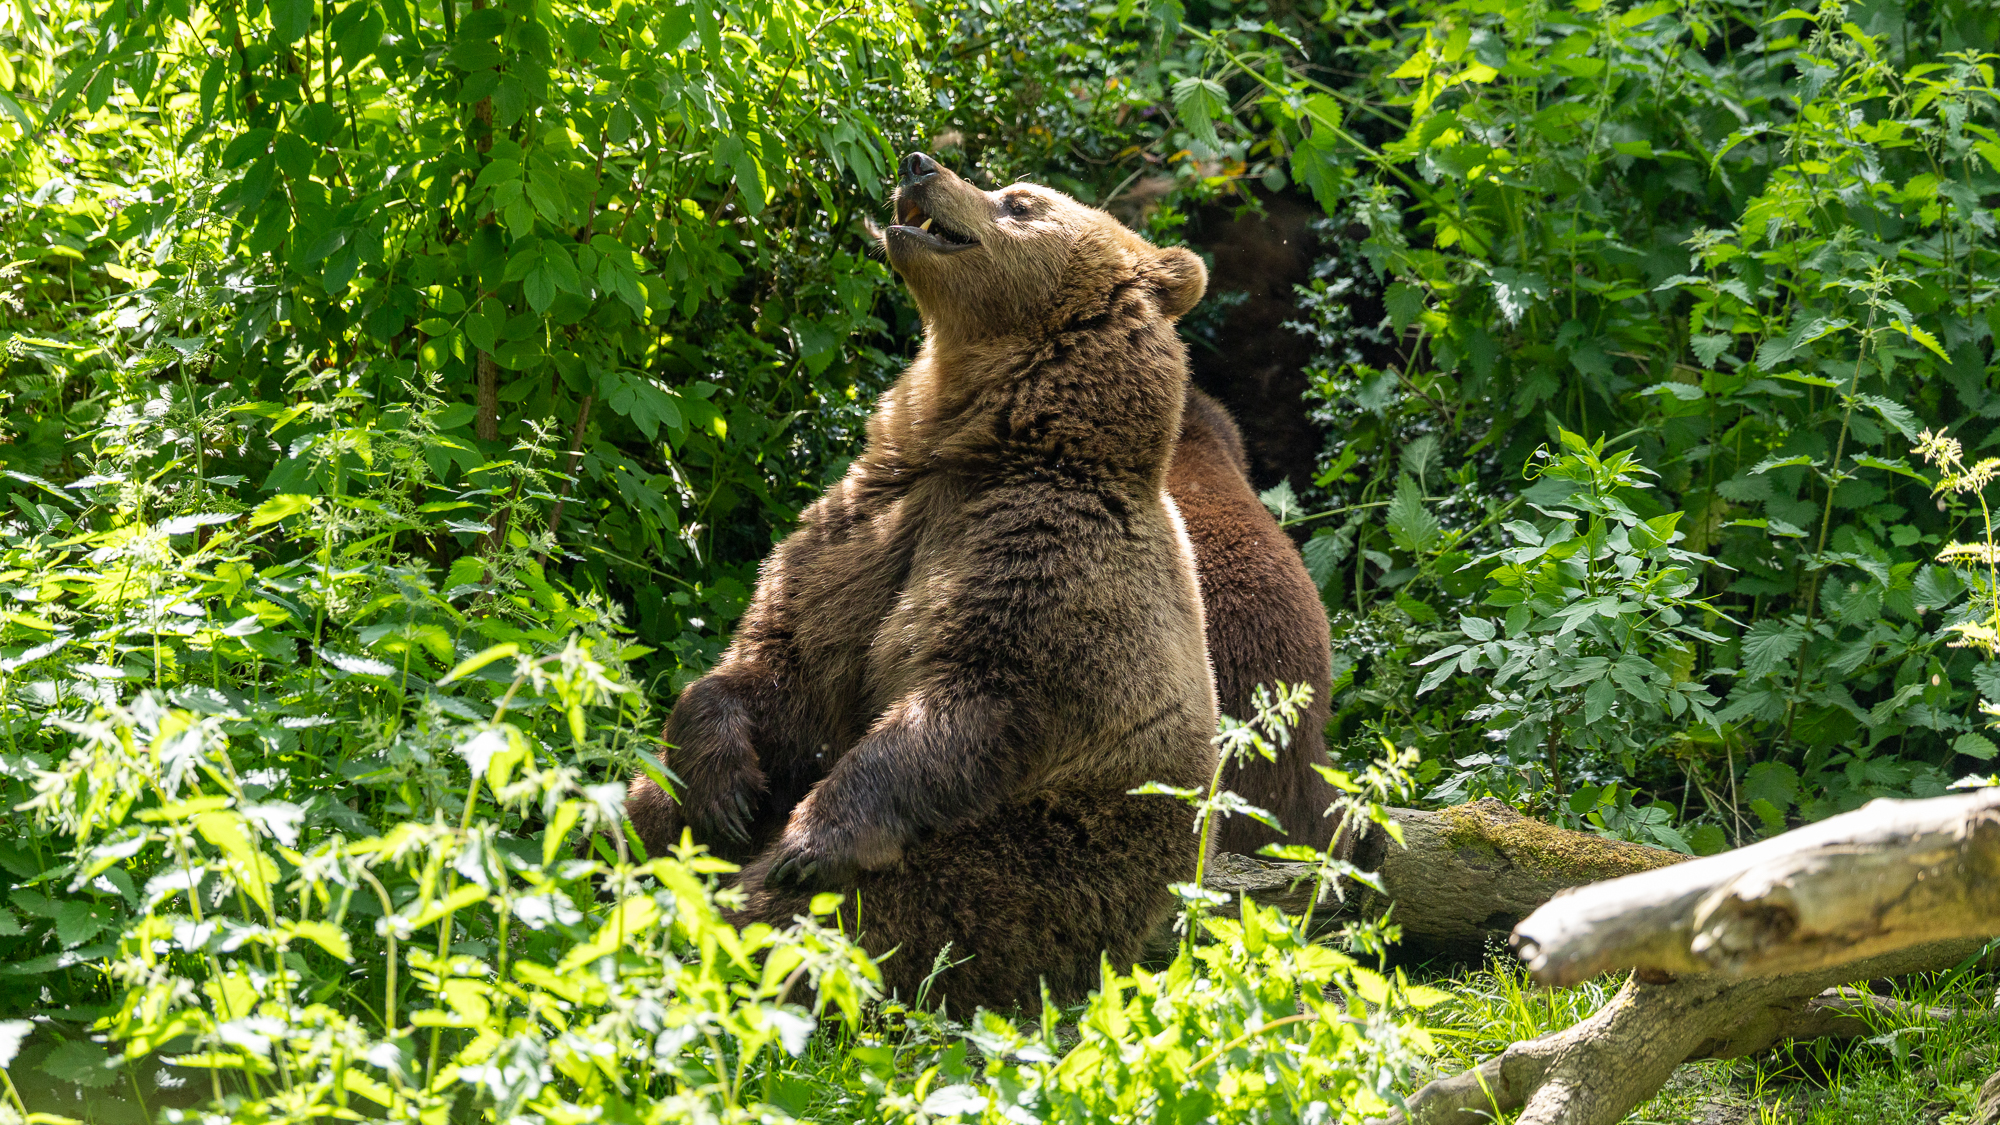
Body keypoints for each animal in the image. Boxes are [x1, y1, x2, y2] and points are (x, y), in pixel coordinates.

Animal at [625, 151, 1218, 1013]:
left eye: (1020, 202)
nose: (918, 162)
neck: (980, 444)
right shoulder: (867, 527)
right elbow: (781, 657)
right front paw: (724, 789)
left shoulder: (1042, 560)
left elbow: (964, 702)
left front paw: (808, 840)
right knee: (641, 803)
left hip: (1028, 866)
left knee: (849, 916)